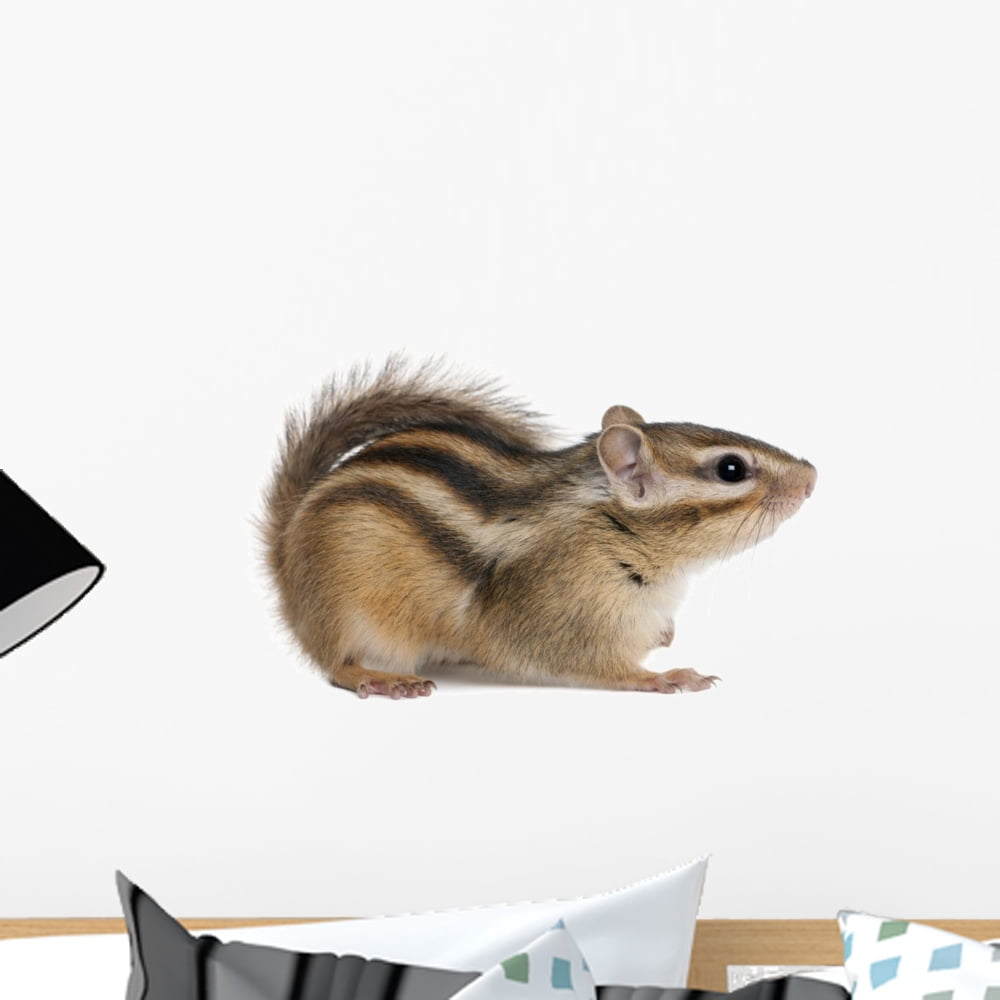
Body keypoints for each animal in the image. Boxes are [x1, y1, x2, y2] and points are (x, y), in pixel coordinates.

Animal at [261, 357, 816, 699]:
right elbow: (600, 667)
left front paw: (667, 637)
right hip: (345, 611)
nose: (812, 478)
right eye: (731, 469)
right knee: (336, 665)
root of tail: (286, 555)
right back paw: (383, 679)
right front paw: (666, 677)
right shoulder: (566, 618)